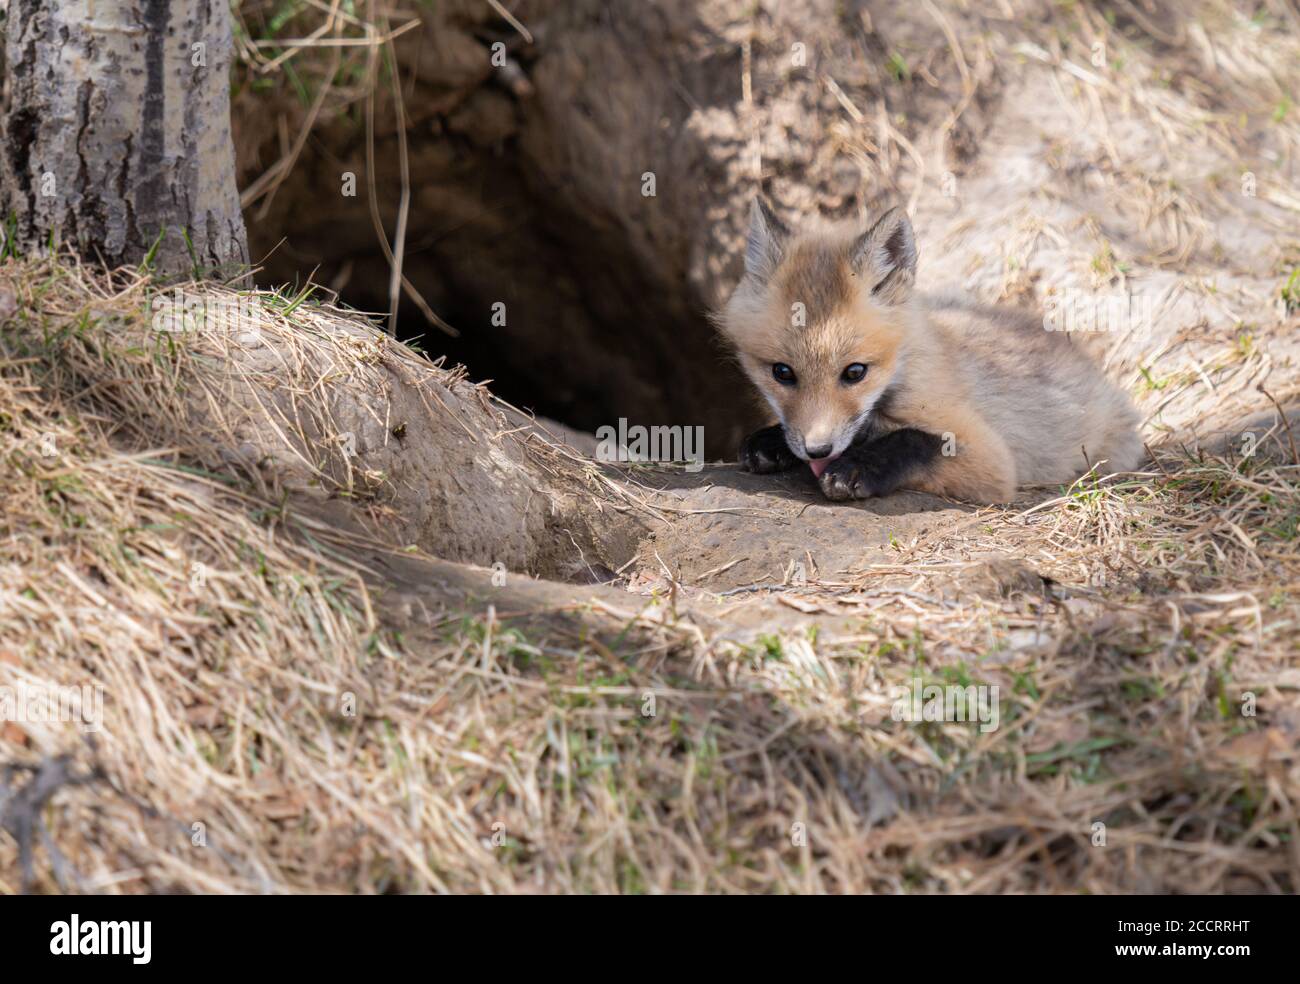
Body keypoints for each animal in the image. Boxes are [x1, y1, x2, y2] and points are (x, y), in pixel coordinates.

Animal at [714, 199, 1143, 504]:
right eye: (782, 373)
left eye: (855, 372)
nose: (818, 449)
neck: (904, 366)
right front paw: (771, 442)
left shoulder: (992, 460)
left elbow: (917, 441)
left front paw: (858, 467)